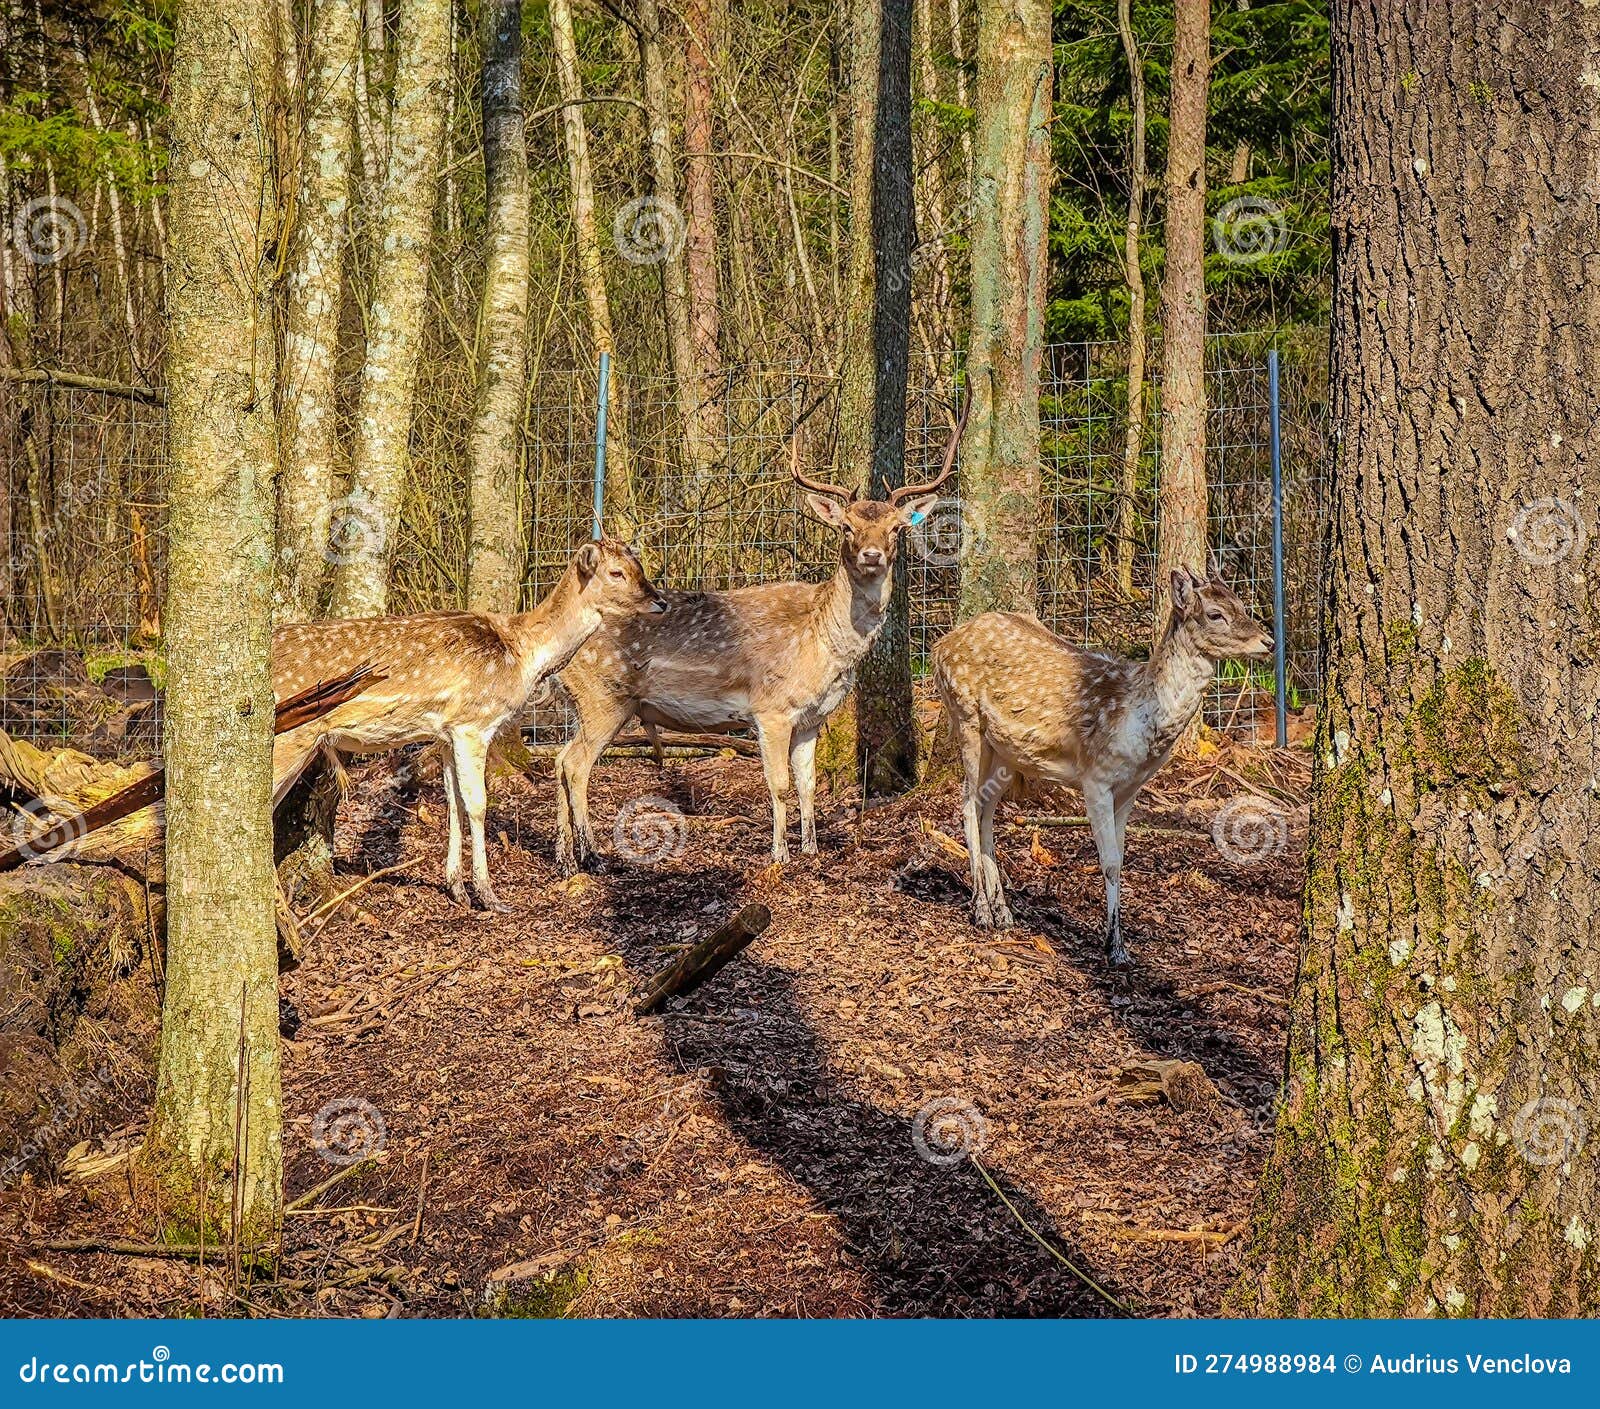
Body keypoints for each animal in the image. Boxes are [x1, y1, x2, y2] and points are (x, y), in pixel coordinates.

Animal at [271, 539, 666, 912]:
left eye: (638, 565)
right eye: (616, 572)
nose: (660, 601)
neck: (522, 655)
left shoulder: (446, 733)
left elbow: (454, 803)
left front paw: (457, 889)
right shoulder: (473, 723)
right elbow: (478, 803)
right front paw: (489, 895)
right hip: (291, 738)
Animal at [552, 409, 968, 872]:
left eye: (896, 528)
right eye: (846, 527)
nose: (872, 555)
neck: (824, 648)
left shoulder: (812, 719)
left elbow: (807, 783)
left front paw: (811, 849)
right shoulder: (771, 710)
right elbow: (779, 784)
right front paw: (780, 854)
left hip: (587, 704)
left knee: (558, 758)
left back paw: (564, 857)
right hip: (604, 697)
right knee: (575, 764)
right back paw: (590, 856)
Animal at [932, 563, 1273, 966]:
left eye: (1241, 603)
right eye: (1216, 614)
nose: (1268, 642)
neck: (1138, 719)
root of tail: (940, 644)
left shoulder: (1130, 789)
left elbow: (1120, 861)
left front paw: (1118, 943)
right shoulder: (1095, 777)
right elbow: (1108, 861)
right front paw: (1115, 947)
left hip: (1005, 751)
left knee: (985, 808)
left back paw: (1003, 910)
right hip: (965, 715)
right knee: (968, 804)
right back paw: (982, 909)